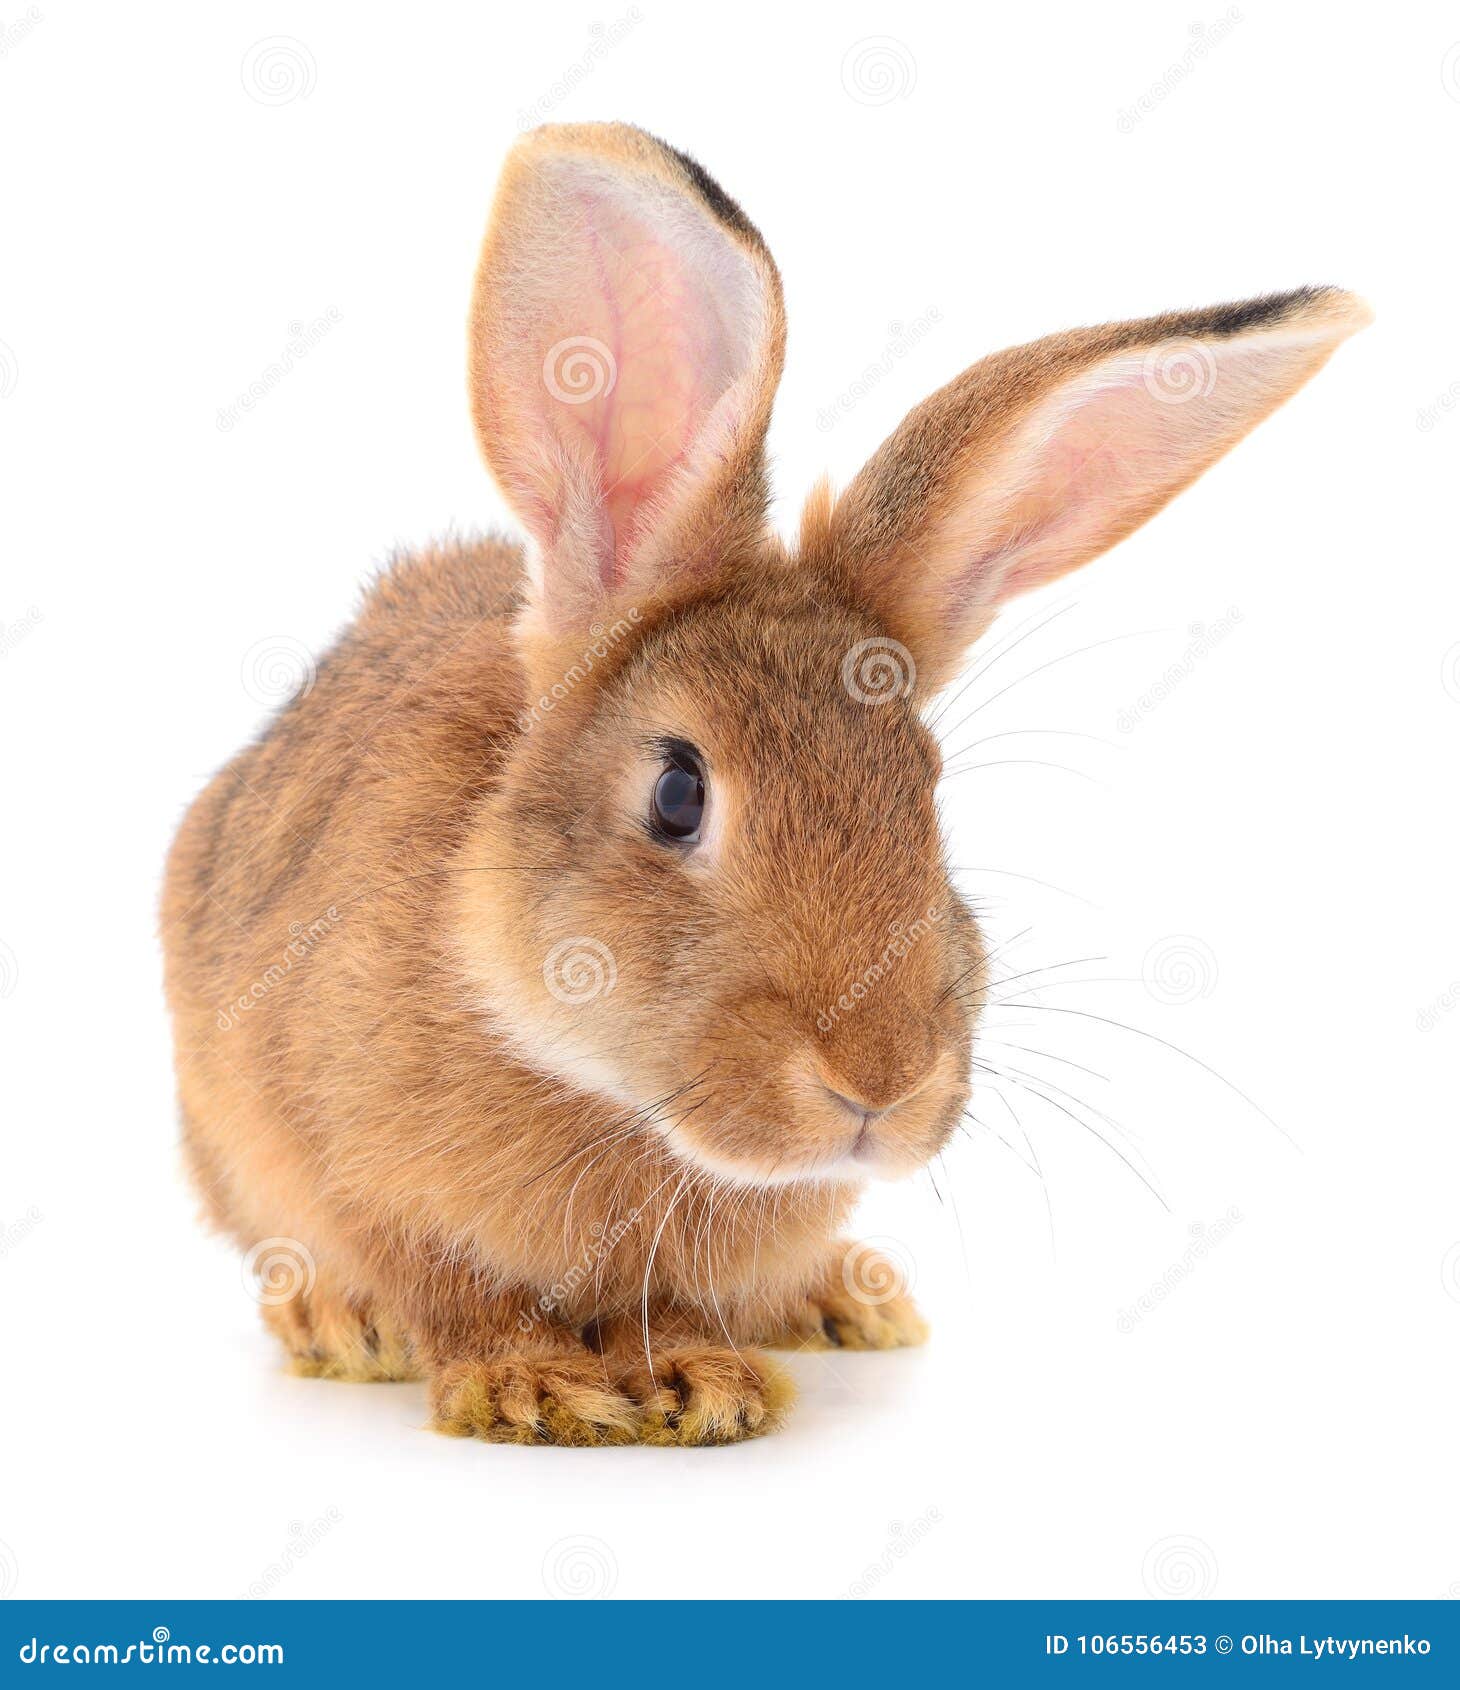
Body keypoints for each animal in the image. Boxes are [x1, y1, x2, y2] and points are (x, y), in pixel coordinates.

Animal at [161, 121, 1369, 1445]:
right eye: (677, 793)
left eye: (926, 792)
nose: (881, 1080)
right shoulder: (352, 1164)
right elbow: (452, 1289)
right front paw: (536, 1388)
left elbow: (684, 1307)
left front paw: (700, 1380)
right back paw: (340, 1321)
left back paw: (848, 1300)